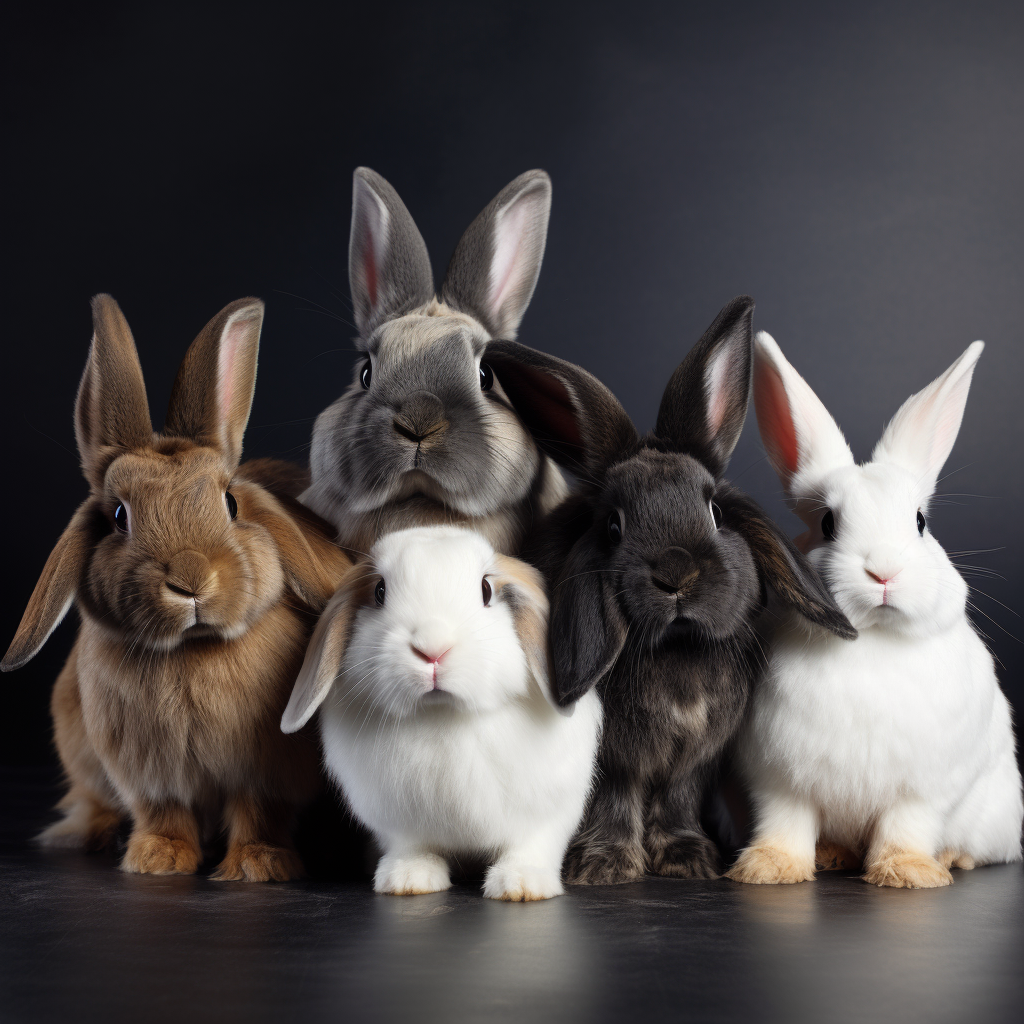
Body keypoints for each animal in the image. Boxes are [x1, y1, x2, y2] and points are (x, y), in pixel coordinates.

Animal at [1, 294, 352, 881]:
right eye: (119, 517)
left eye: (230, 503)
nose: (190, 581)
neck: (191, 650)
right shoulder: (148, 773)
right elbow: (163, 812)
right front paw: (157, 860)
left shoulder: (267, 774)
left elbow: (260, 812)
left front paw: (259, 866)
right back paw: (89, 834)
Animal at [280, 525, 602, 901]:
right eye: (379, 591)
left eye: (486, 589)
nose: (432, 649)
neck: (444, 717)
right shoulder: (397, 823)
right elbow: (412, 847)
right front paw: (408, 879)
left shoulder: (551, 812)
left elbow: (533, 846)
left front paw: (521, 884)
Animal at [484, 296, 856, 884]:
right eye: (613, 526)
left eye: (716, 511)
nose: (676, 574)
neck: (677, 652)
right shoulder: (612, 763)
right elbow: (612, 802)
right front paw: (604, 866)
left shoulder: (695, 761)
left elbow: (677, 801)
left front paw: (690, 860)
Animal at [726, 333, 1023, 888]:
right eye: (827, 523)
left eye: (920, 521)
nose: (883, 572)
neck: (873, 640)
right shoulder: (778, 778)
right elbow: (784, 821)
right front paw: (769, 868)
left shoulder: (922, 788)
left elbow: (906, 826)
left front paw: (908, 873)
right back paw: (831, 856)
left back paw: (951, 858)